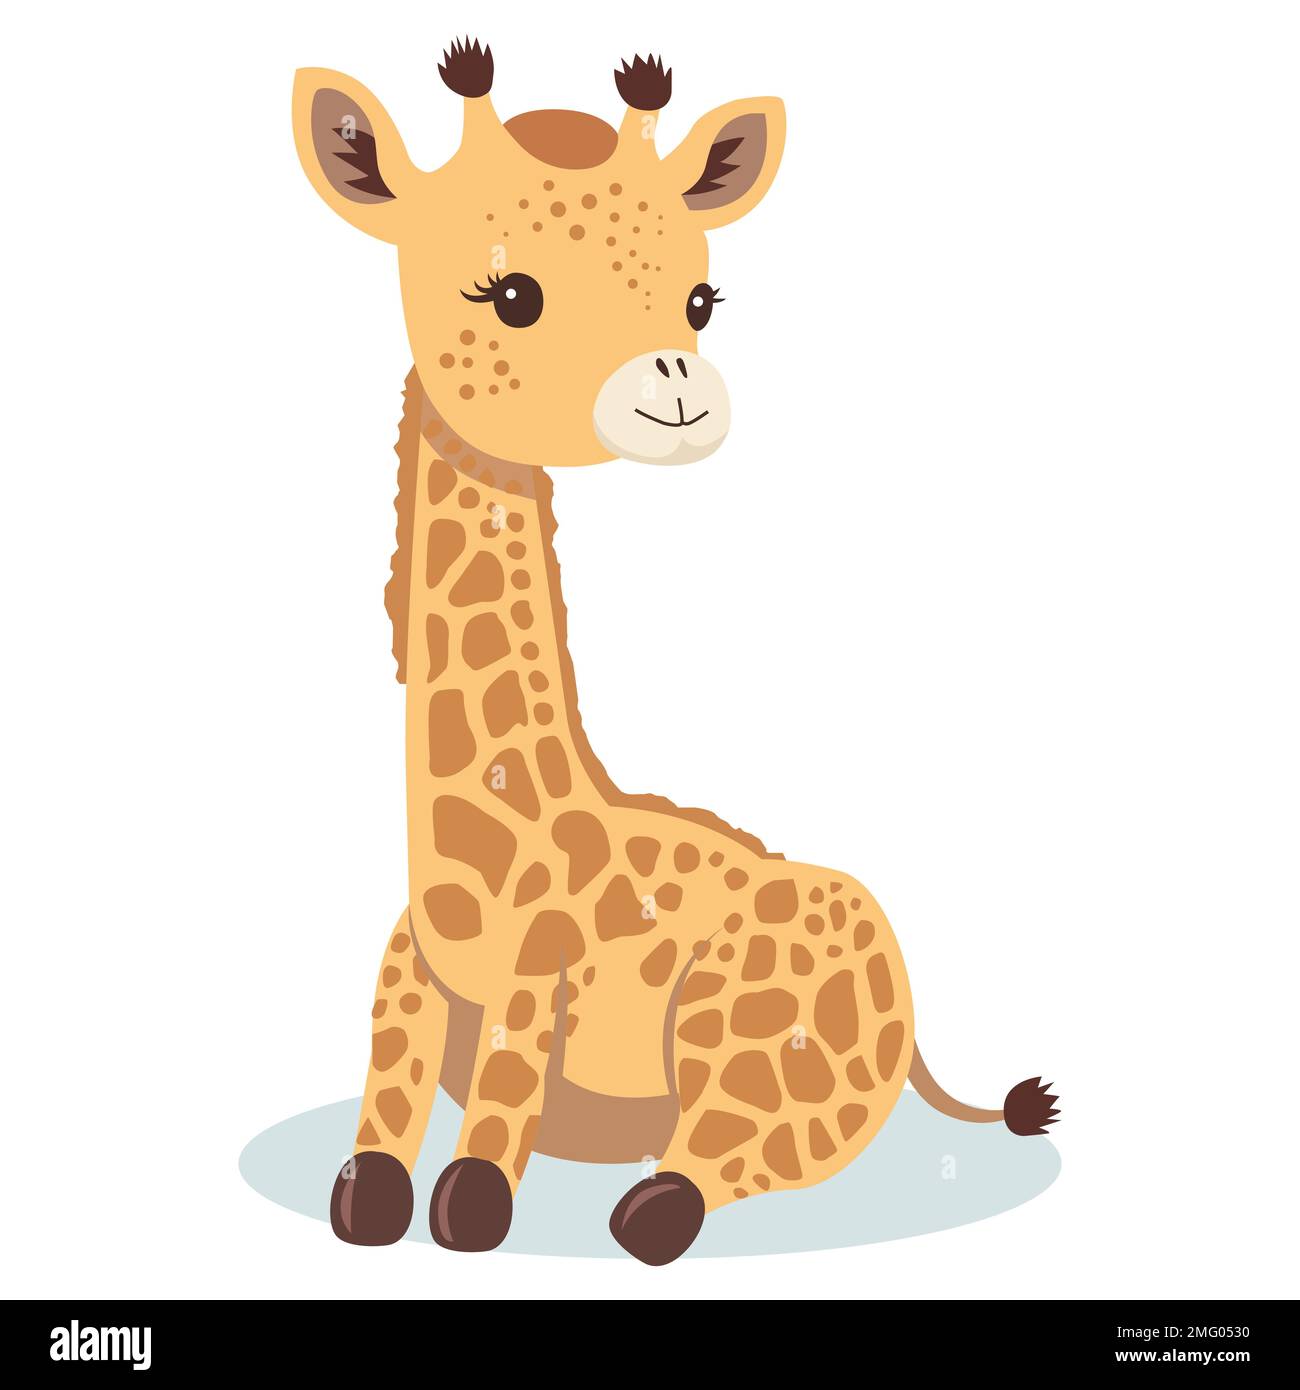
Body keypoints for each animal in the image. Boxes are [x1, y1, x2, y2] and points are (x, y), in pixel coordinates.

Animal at [292, 38, 1060, 1265]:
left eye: (701, 298)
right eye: (511, 293)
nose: (681, 390)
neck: (464, 878)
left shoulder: (531, 988)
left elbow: (475, 1189)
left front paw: (475, 1206)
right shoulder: (404, 987)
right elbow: (369, 1172)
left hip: (740, 1034)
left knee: (697, 1179)